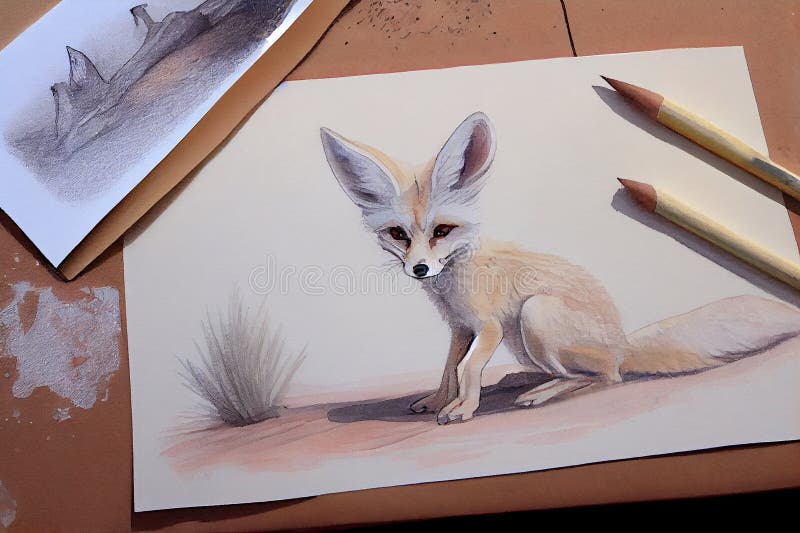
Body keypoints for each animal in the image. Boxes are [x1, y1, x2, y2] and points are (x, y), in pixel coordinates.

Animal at [320, 112, 800, 425]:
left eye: (441, 230)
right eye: (398, 234)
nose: (420, 269)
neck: (454, 280)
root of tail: (622, 344)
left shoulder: (488, 326)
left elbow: (467, 370)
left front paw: (463, 409)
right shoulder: (460, 328)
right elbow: (449, 369)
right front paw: (439, 400)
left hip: (534, 316)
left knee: (605, 378)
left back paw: (542, 392)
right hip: (522, 337)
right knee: (580, 373)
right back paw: (521, 379)